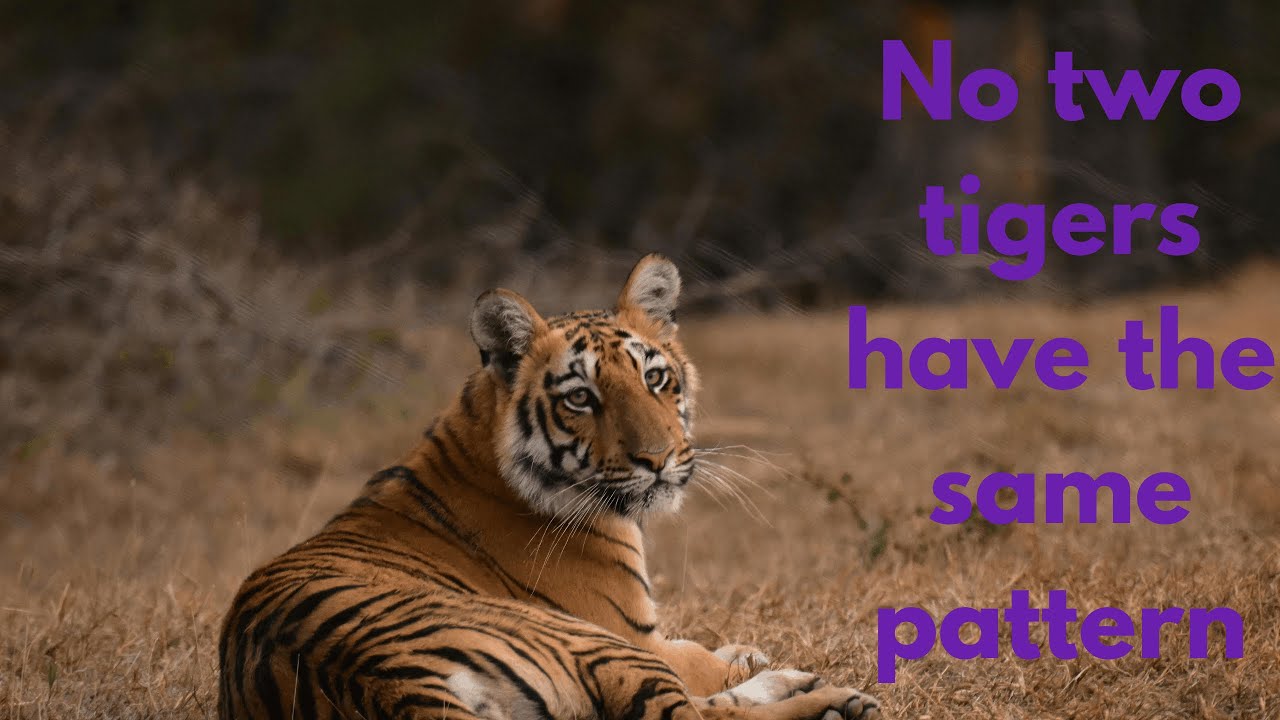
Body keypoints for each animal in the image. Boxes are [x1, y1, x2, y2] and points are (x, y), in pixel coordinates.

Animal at [217, 254, 883, 720]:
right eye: (581, 397)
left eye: (654, 377)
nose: (658, 459)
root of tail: (387, 685)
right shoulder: (634, 634)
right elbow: (697, 659)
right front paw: (749, 658)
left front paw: (747, 654)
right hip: (591, 642)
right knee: (695, 713)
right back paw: (834, 700)